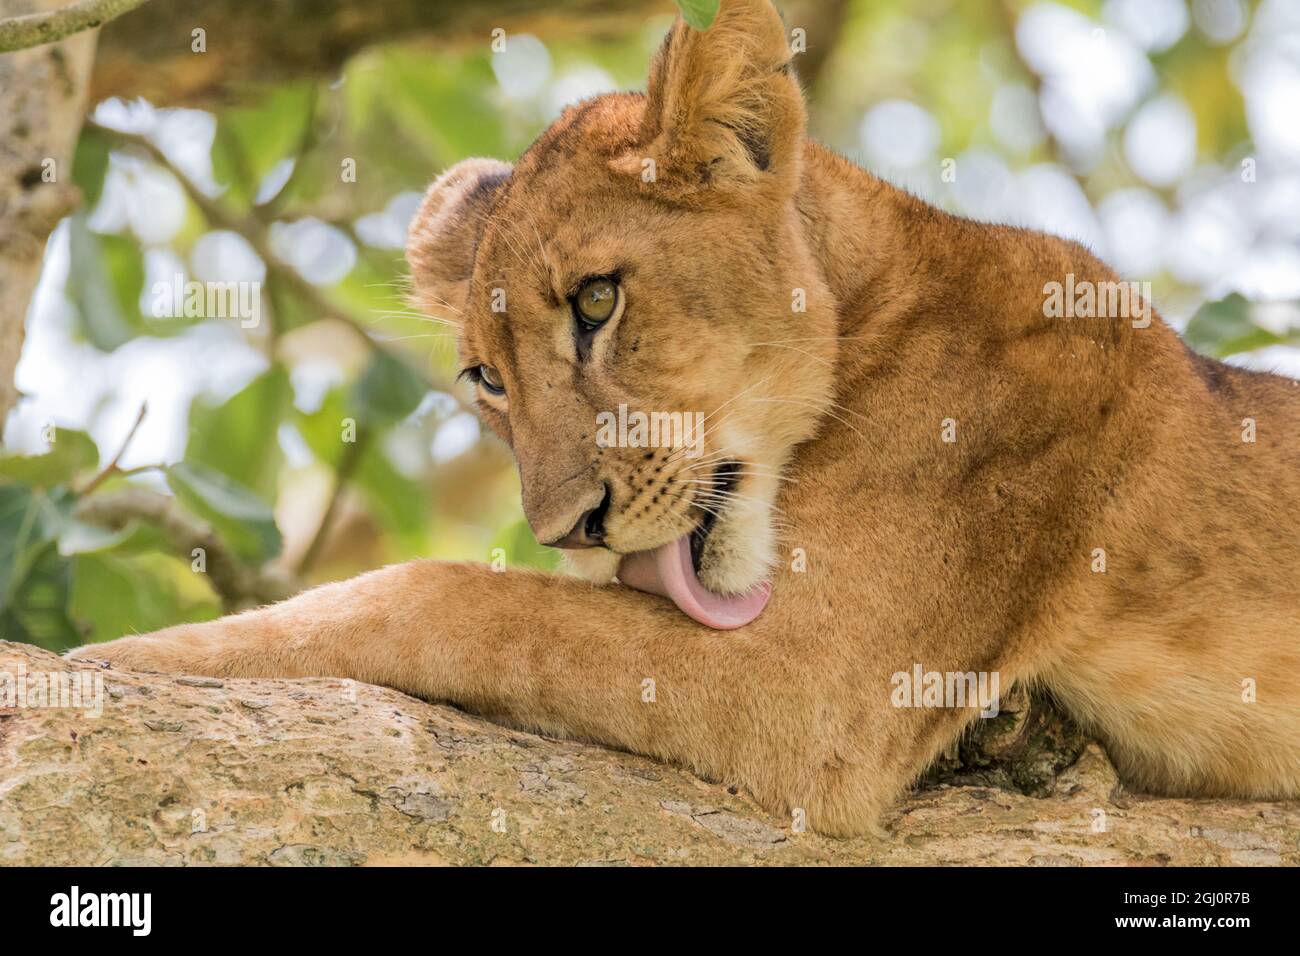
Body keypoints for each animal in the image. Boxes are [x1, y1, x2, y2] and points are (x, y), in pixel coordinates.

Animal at [70, 0, 1300, 837]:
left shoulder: (819, 688)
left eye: (596, 302)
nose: (569, 528)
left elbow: (448, 597)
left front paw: (115, 656)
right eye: (485, 379)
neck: (874, 303)